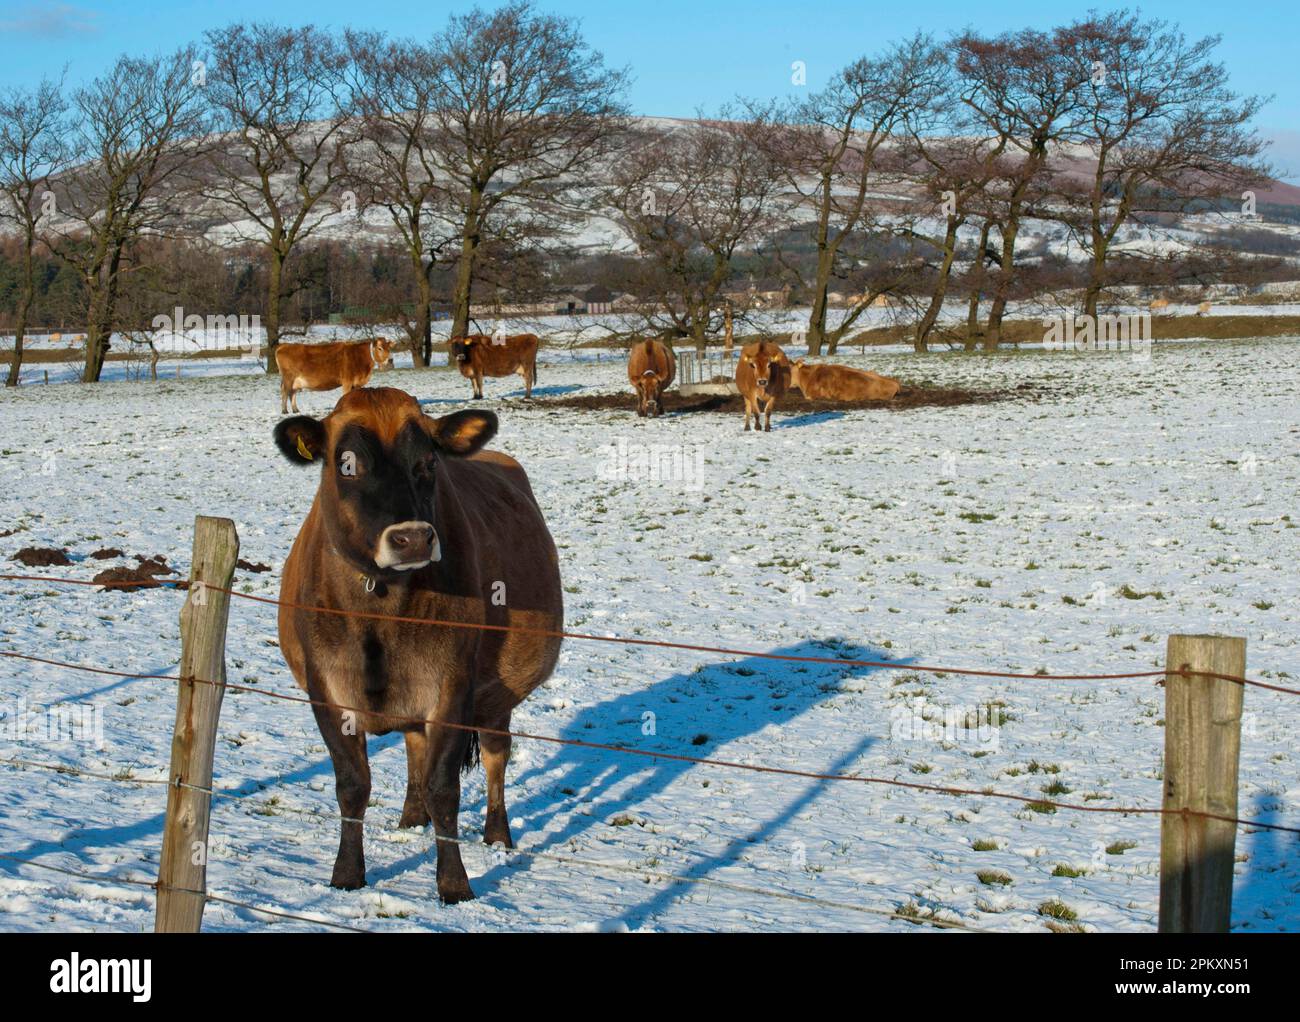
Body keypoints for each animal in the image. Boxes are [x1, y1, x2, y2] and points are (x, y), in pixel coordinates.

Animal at [273, 386, 563, 904]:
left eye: (428, 462)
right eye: (346, 464)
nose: (411, 538)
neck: (382, 606)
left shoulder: (453, 685)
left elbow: (443, 787)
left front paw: (455, 884)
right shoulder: (325, 689)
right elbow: (353, 784)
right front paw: (347, 874)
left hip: (497, 695)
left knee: (496, 754)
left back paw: (497, 834)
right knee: (414, 742)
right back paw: (411, 818)